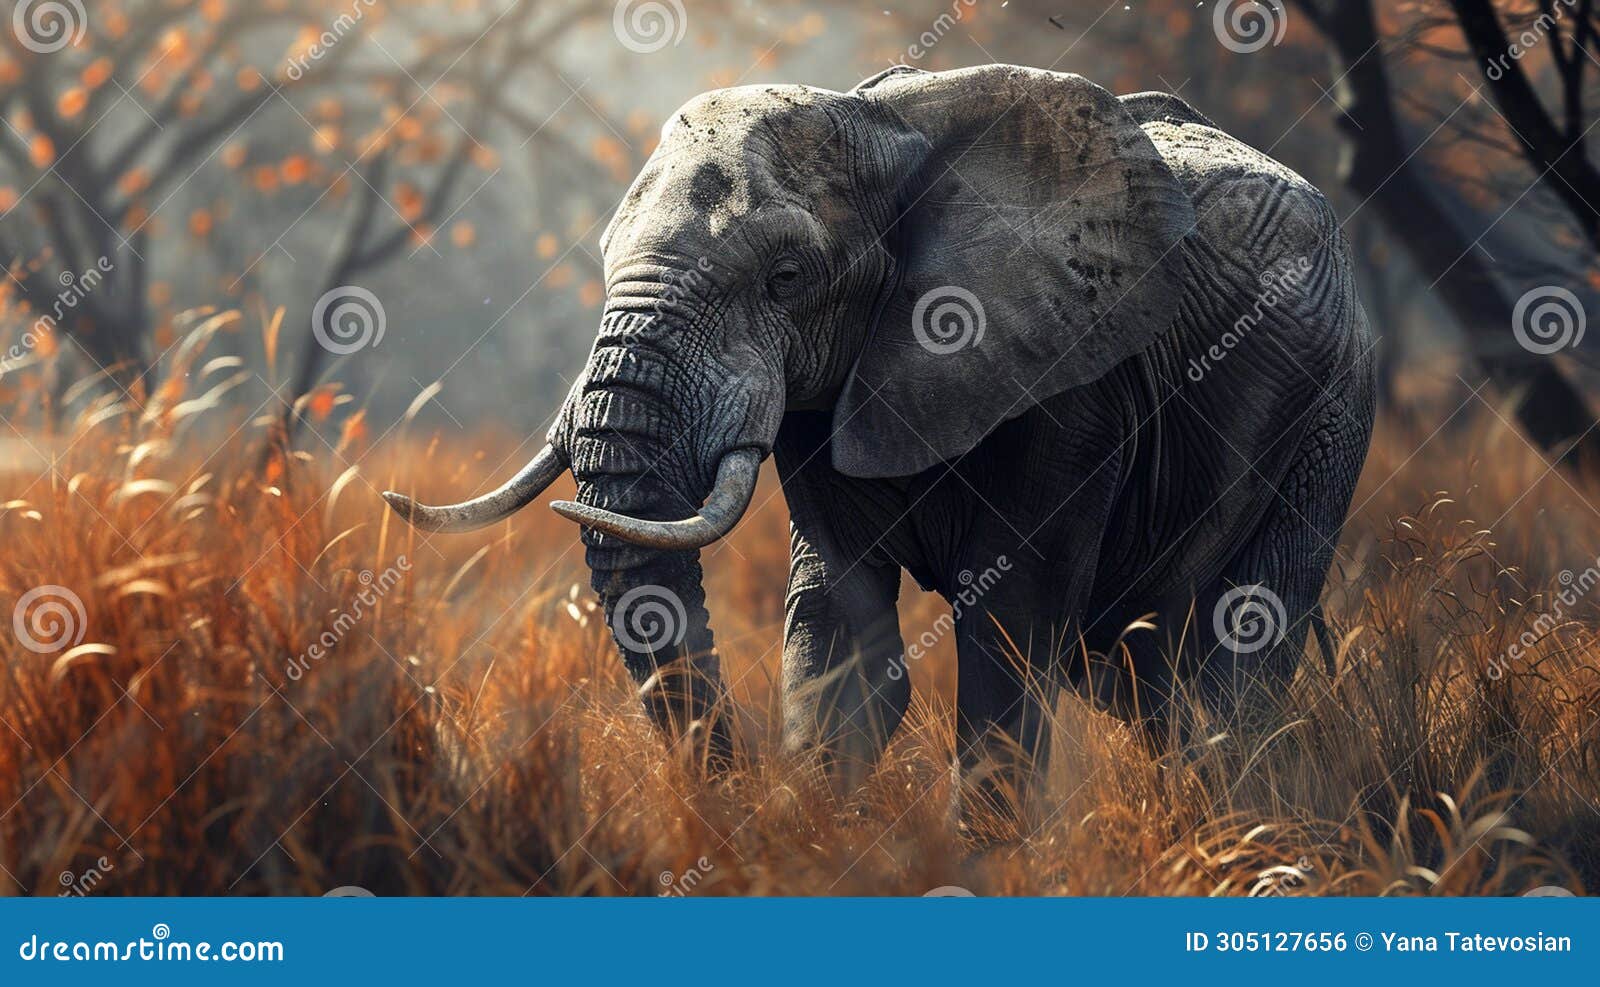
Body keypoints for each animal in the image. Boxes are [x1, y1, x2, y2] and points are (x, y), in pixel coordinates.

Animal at [383, 64, 1376, 819]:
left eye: (787, 278)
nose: (724, 807)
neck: (878, 118)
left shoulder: (1075, 383)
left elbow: (1008, 631)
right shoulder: (823, 395)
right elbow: (842, 629)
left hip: (1337, 409)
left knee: (1238, 651)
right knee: (1149, 676)